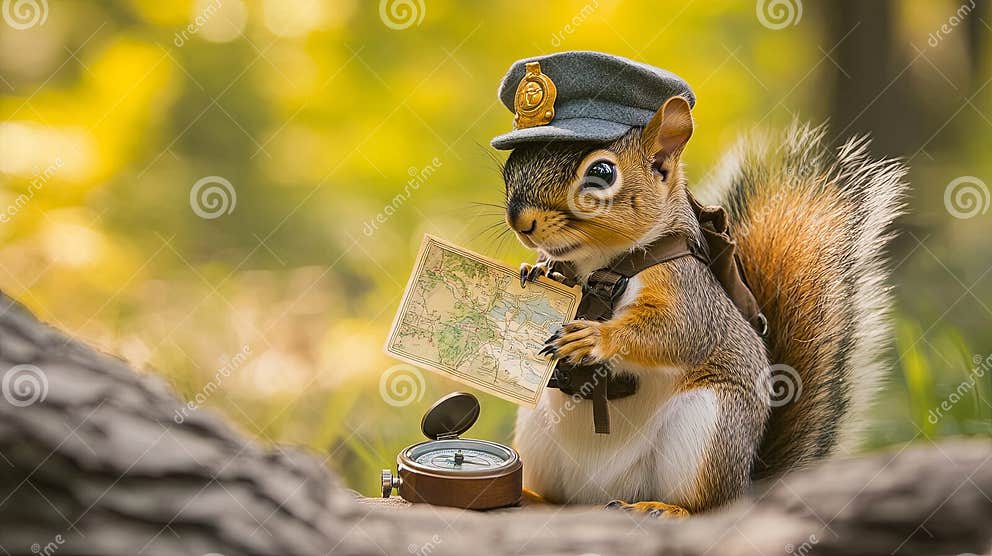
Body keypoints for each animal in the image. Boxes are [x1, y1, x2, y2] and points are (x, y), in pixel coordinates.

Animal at [502, 96, 907, 516]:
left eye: (601, 172)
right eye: (512, 164)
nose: (520, 221)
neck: (599, 263)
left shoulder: (689, 290)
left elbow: (679, 333)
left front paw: (592, 338)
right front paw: (533, 269)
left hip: (706, 427)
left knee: (707, 503)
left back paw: (662, 508)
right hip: (535, 426)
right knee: (553, 494)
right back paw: (529, 495)